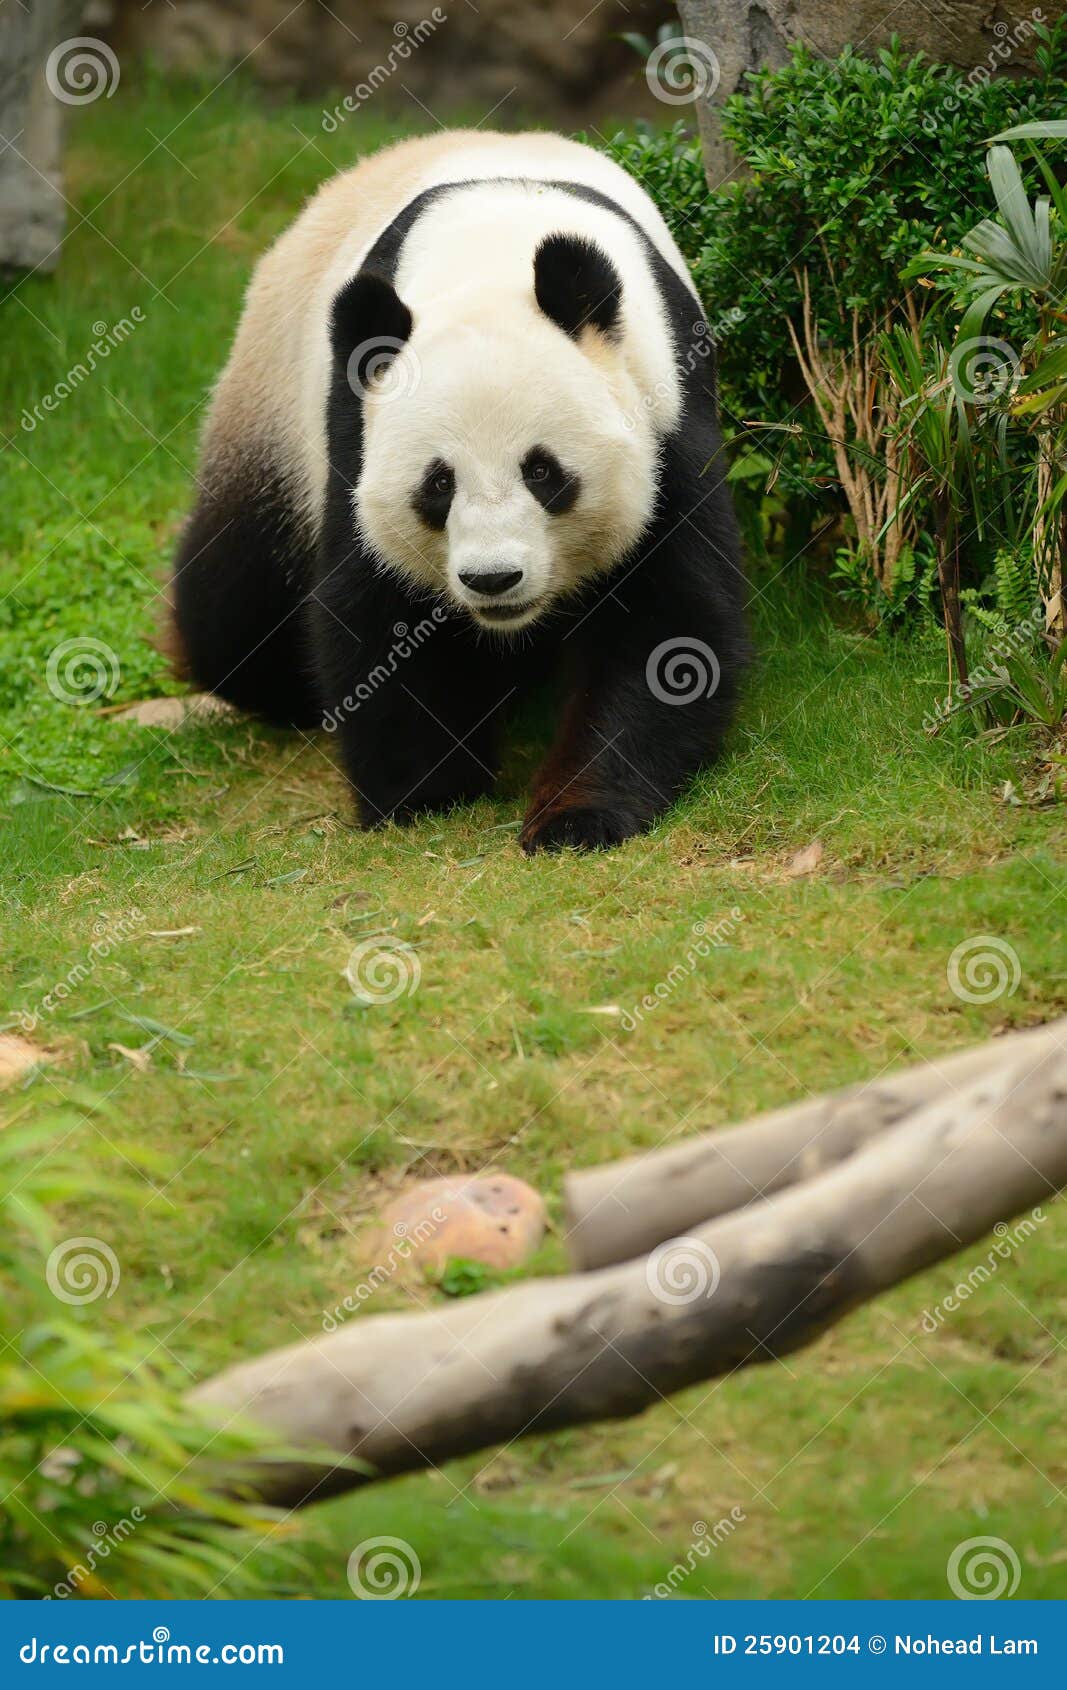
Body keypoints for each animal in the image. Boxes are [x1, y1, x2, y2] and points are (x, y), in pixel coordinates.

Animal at [170, 129, 748, 852]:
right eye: (438, 484)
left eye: (542, 472)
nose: (493, 579)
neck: (494, 258)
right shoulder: (354, 425)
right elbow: (376, 610)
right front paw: (425, 795)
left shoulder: (664, 406)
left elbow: (664, 623)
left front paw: (577, 816)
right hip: (272, 420)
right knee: (234, 610)